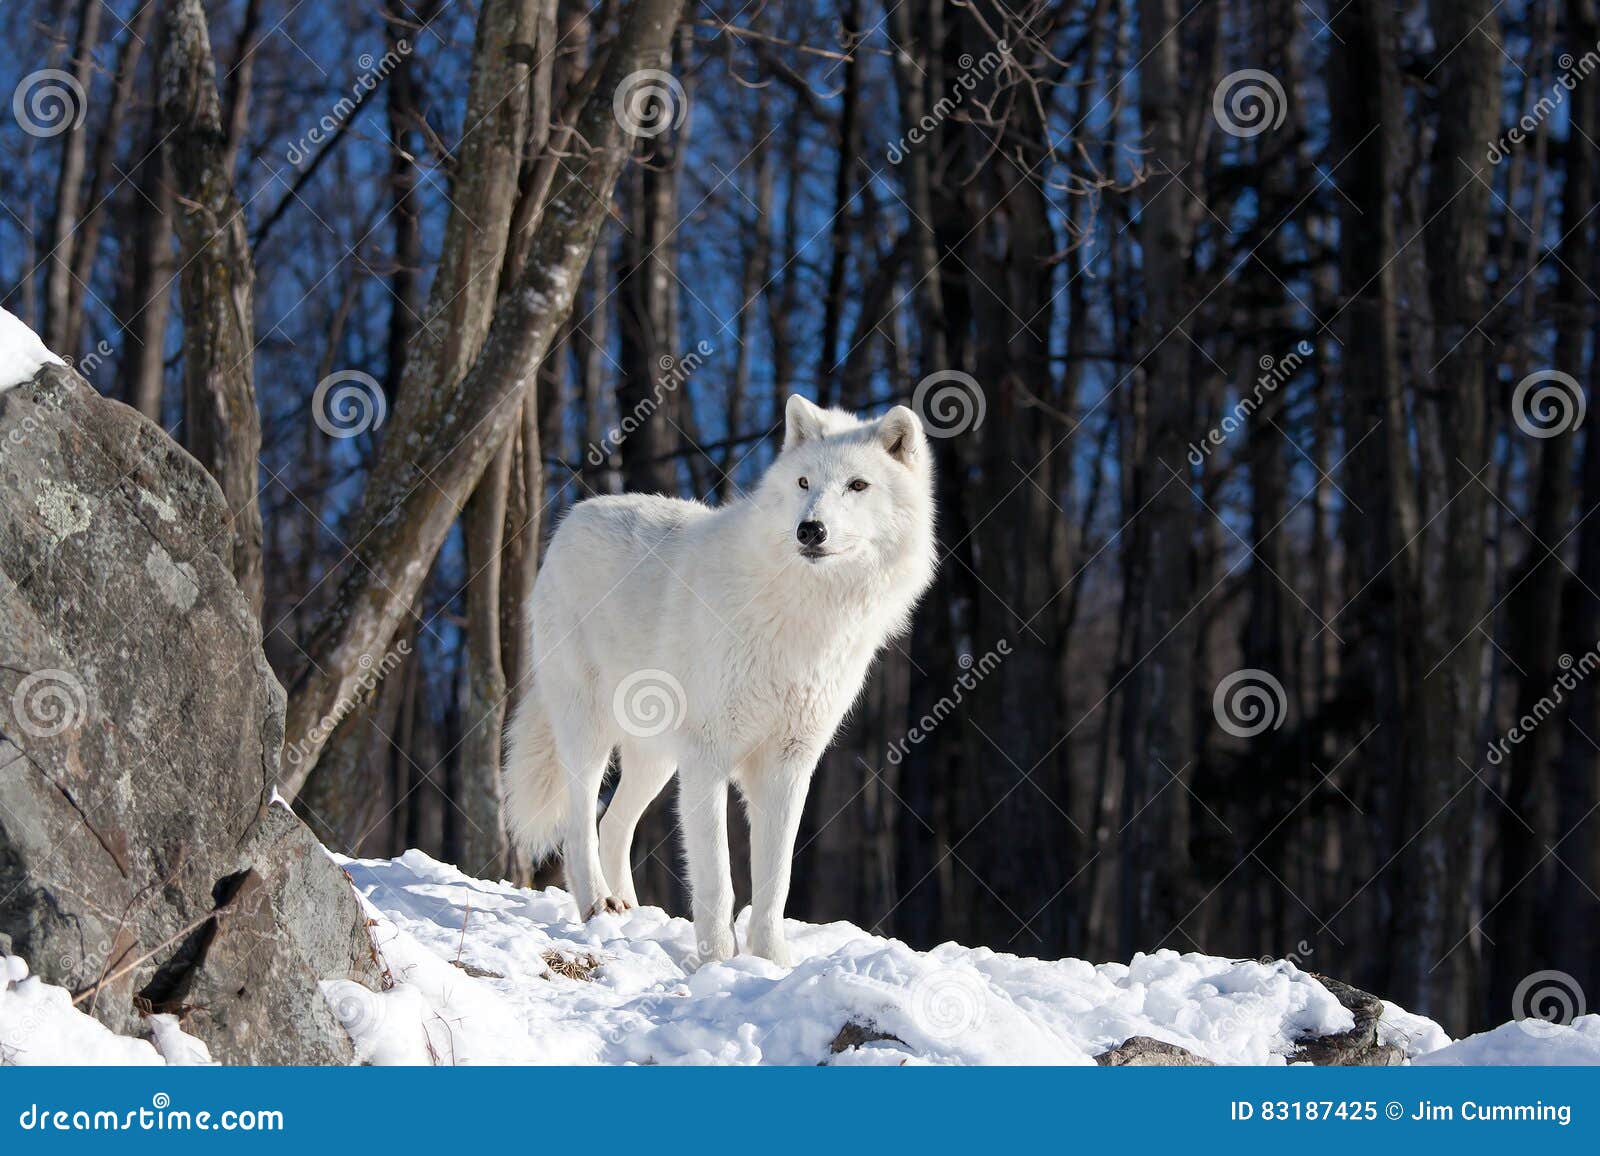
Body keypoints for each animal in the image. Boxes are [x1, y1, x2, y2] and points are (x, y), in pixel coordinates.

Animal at [502, 394, 937, 966]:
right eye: (803, 483)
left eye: (858, 485)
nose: (810, 529)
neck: (804, 614)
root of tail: (573, 517)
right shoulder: (708, 758)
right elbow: (717, 879)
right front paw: (715, 962)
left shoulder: (788, 765)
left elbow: (775, 882)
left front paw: (770, 965)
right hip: (591, 734)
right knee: (579, 825)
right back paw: (598, 903)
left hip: (658, 760)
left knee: (612, 824)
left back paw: (631, 910)